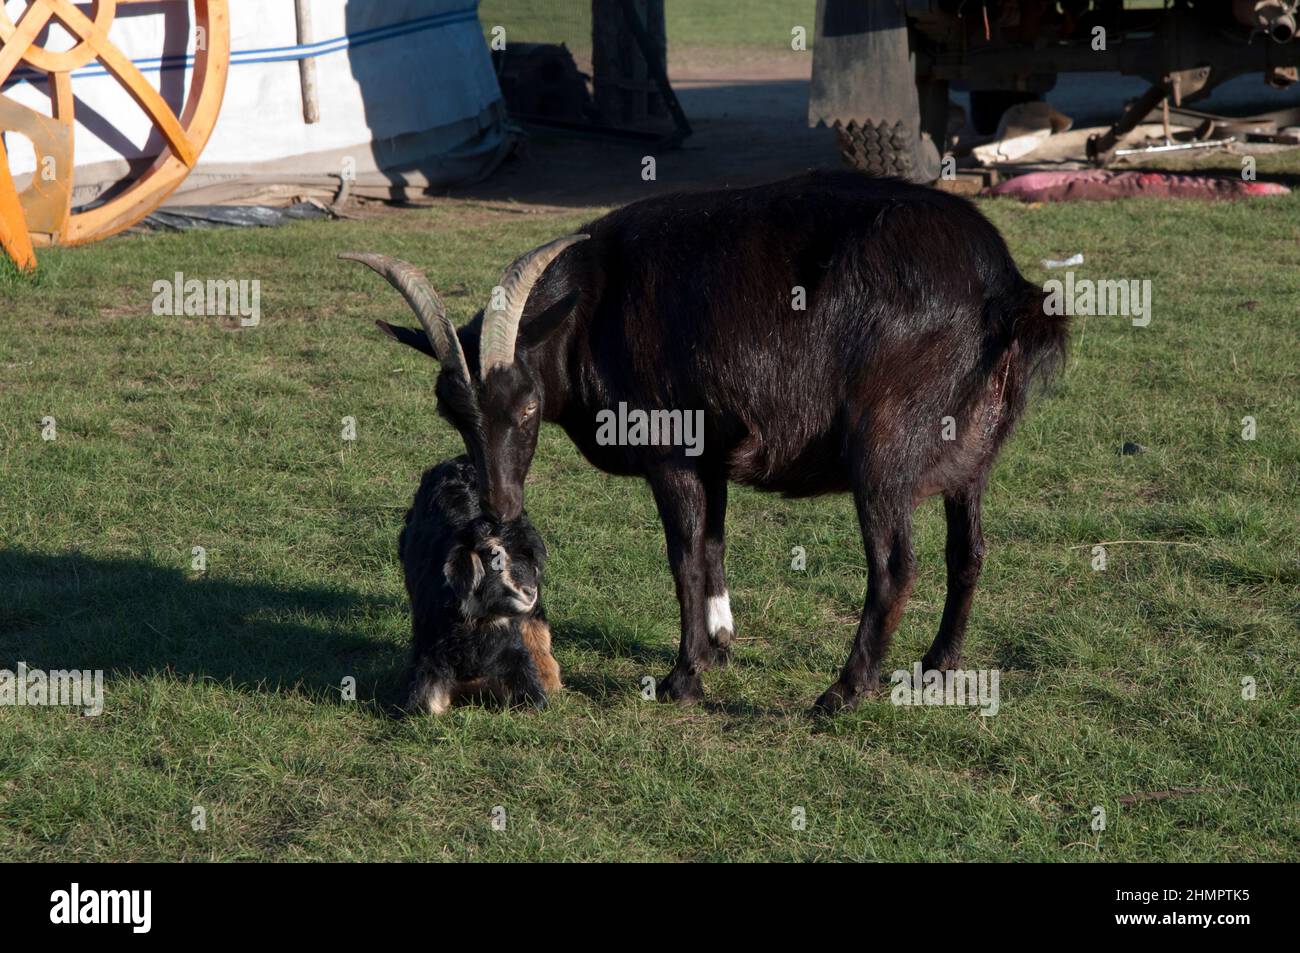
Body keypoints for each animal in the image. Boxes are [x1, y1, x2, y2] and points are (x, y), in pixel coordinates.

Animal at [398, 455, 560, 714]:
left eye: (528, 556)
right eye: (494, 557)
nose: (529, 591)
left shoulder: (510, 648)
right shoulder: (431, 647)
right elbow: (425, 703)